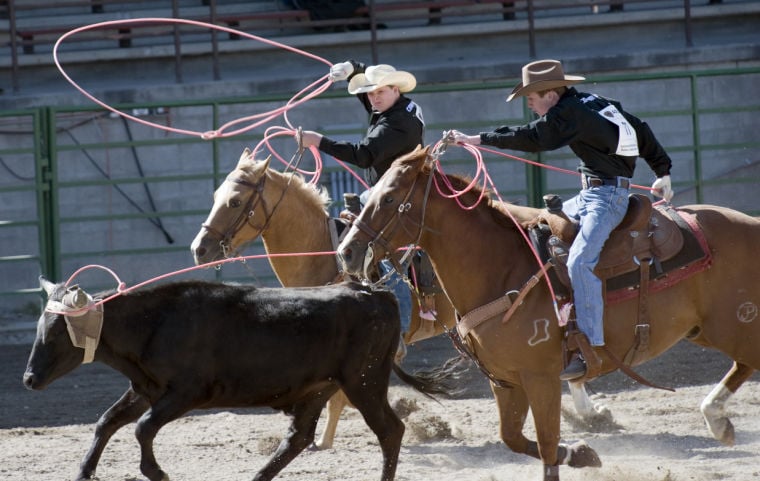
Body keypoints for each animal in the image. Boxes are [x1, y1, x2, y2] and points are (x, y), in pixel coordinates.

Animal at [23, 277, 448, 481]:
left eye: (57, 332)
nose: (28, 378)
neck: (154, 322)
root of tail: (372, 291)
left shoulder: (186, 393)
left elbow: (142, 428)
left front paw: (157, 471)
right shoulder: (145, 389)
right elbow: (106, 423)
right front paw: (84, 471)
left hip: (364, 381)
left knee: (390, 430)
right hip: (321, 387)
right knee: (298, 439)